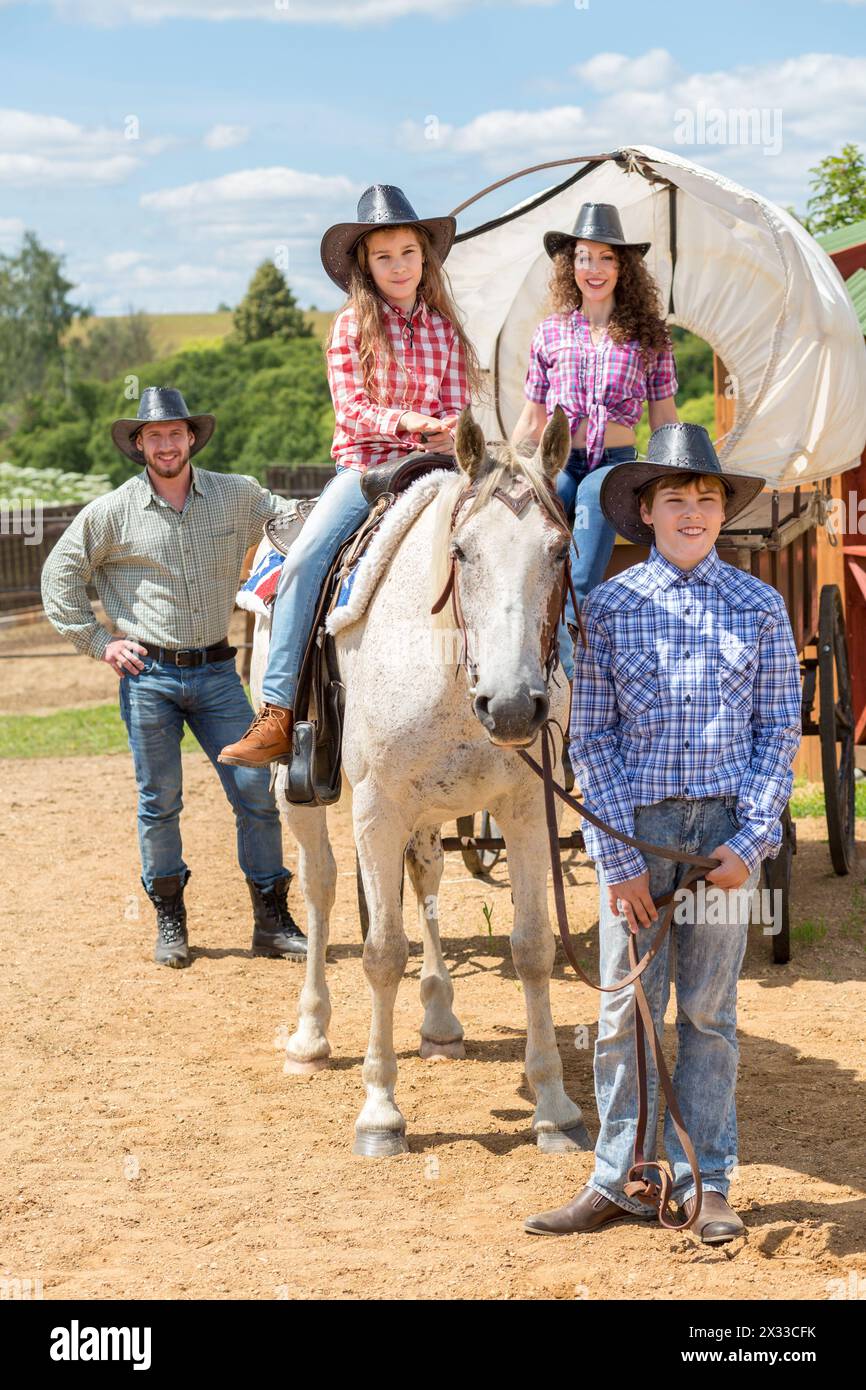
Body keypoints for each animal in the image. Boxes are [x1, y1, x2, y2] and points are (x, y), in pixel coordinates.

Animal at [249, 405, 590, 1157]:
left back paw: (439, 1020)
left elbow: (532, 948)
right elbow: (382, 952)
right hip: (296, 792)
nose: (512, 705)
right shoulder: (376, 809)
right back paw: (310, 1036)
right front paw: (380, 1113)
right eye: (461, 551)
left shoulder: (527, 810)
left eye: (559, 550)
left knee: (428, 874)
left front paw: (554, 1108)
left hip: (433, 809)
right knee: (319, 886)